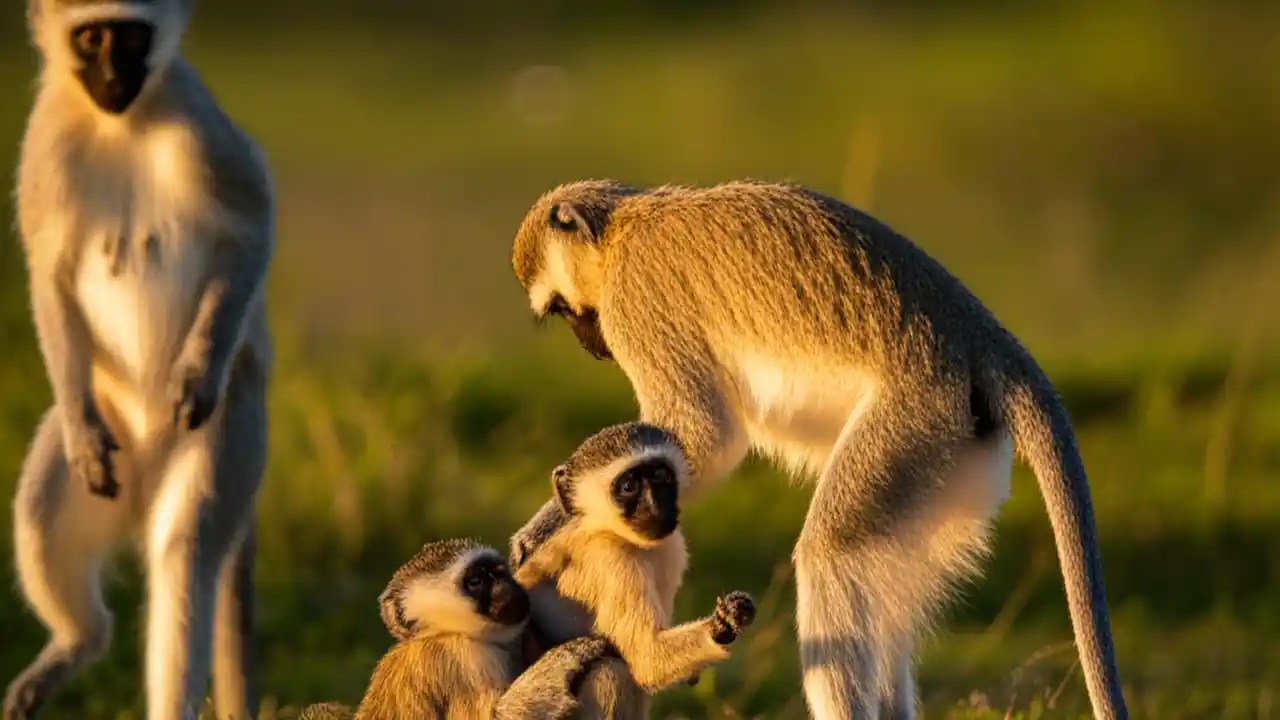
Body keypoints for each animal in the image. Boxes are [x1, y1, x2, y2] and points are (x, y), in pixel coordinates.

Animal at [6, 2, 274, 718]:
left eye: (129, 35)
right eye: (91, 36)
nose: (112, 74)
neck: (117, 125)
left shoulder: (195, 118)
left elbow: (251, 229)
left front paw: (198, 372)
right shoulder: (45, 137)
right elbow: (49, 273)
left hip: (236, 436)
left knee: (184, 548)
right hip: (110, 445)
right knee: (38, 512)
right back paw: (78, 643)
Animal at [299, 540, 615, 720]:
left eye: (498, 571)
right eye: (475, 581)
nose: (508, 583)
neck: (448, 632)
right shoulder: (465, 661)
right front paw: (565, 657)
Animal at [513, 422, 758, 719]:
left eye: (660, 477)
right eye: (628, 487)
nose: (655, 506)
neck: (609, 529)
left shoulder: (672, 549)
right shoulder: (612, 560)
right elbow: (647, 659)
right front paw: (724, 624)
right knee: (610, 672)